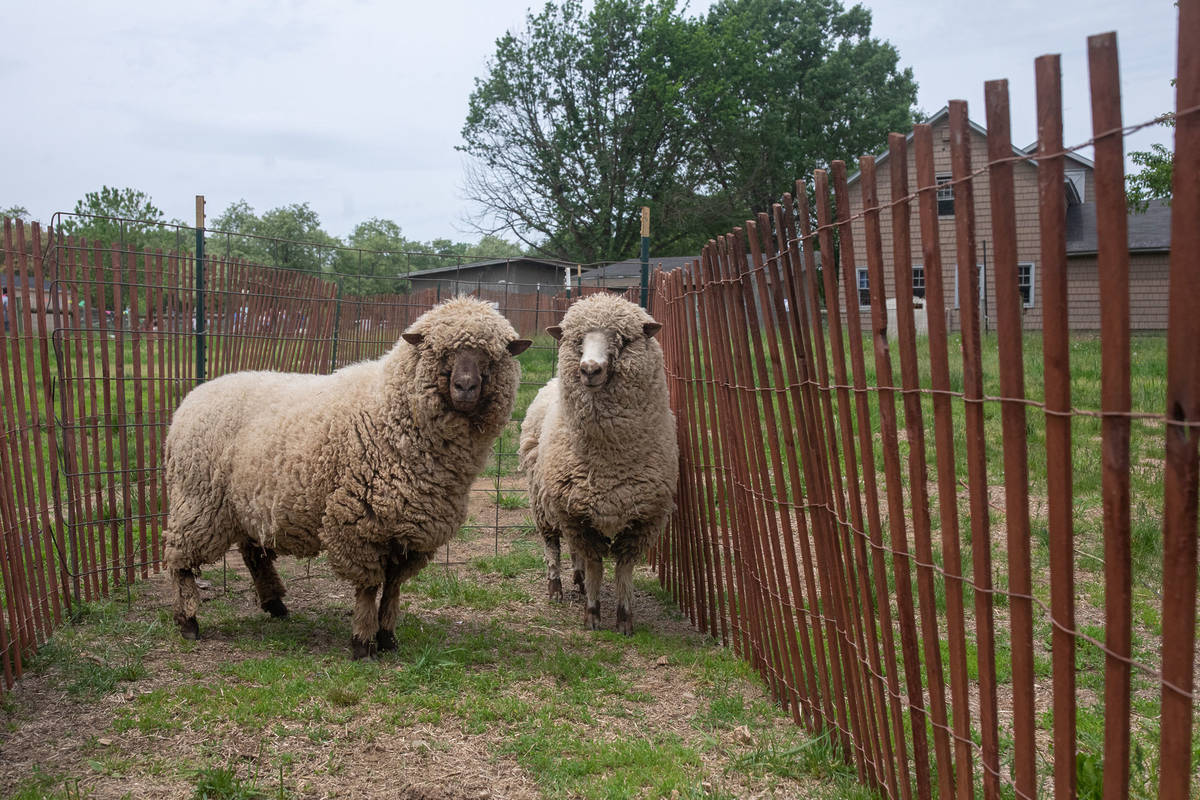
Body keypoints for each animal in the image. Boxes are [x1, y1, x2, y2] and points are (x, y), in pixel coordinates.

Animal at [163, 297, 531, 659]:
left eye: (493, 355)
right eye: (439, 351)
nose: (465, 386)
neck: (394, 412)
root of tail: (194, 396)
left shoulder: (411, 528)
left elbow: (393, 588)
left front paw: (388, 637)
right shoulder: (358, 521)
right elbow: (369, 587)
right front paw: (363, 643)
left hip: (247, 501)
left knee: (253, 552)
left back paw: (274, 603)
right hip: (199, 500)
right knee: (179, 556)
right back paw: (188, 620)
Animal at [519, 293, 678, 635]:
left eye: (623, 339)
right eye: (577, 340)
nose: (589, 369)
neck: (609, 462)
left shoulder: (642, 518)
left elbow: (623, 569)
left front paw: (624, 618)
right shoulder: (576, 515)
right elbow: (595, 564)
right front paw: (592, 614)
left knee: (574, 553)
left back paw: (577, 583)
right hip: (543, 501)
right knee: (552, 545)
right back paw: (556, 588)